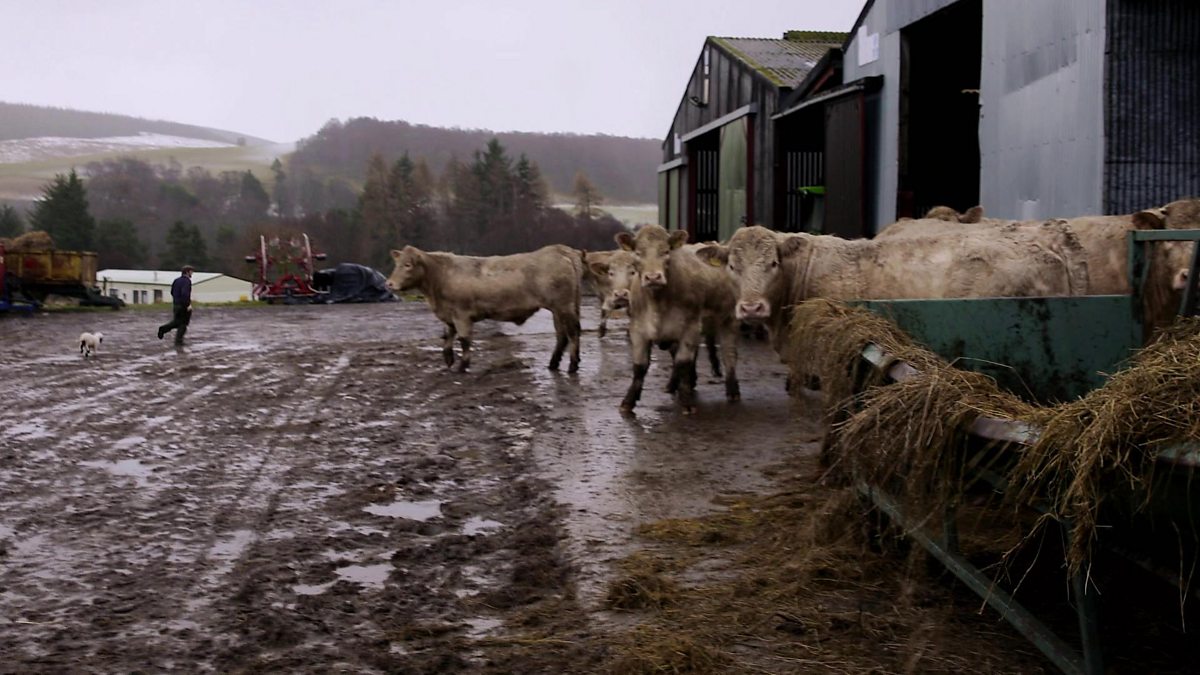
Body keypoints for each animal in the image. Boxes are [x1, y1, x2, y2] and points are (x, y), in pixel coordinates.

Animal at [386, 244, 583, 373]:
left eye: (408, 265)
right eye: (397, 263)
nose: (389, 284)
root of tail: (558, 249)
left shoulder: (462, 315)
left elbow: (464, 340)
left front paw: (462, 366)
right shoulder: (450, 315)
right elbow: (448, 336)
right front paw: (449, 359)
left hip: (563, 306)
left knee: (573, 332)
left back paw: (572, 365)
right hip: (558, 309)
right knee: (561, 335)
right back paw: (553, 364)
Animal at [614, 225, 739, 415]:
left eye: (666, 251)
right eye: (638, 253)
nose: (653, 277)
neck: (657, 302)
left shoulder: (690, 327)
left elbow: (682, 363)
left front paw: (687, 402)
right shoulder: (638, 329)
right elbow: (639, 367)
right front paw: (628, 401)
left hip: (728, 319)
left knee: (728, 352)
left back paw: (732, 390)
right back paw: (675, 384)